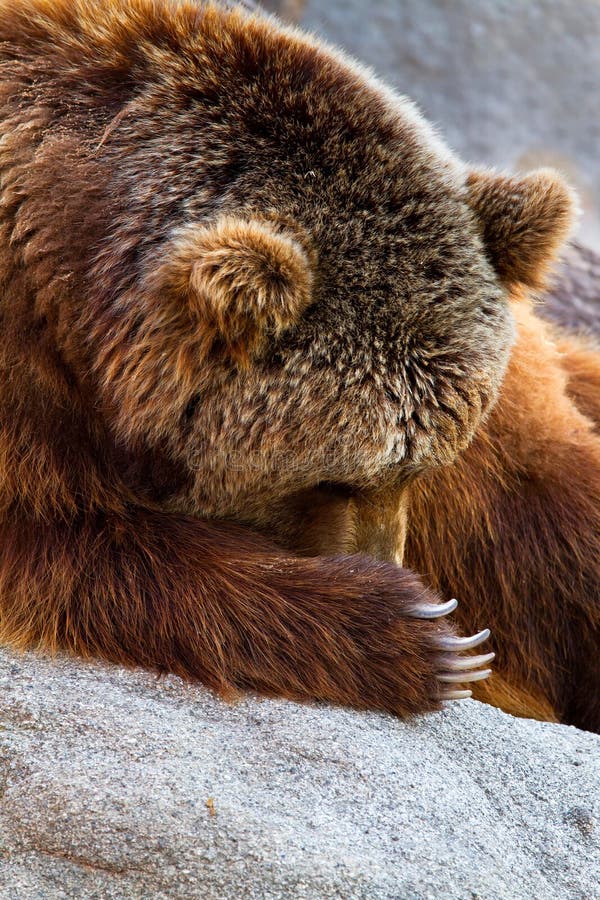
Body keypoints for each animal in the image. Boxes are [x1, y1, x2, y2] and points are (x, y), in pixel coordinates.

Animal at [0, 0, 598, 730]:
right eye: (331, 479)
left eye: (422, 468)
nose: (386, 563)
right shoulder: (24, 371)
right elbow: (65, 542)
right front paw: (412, 633)